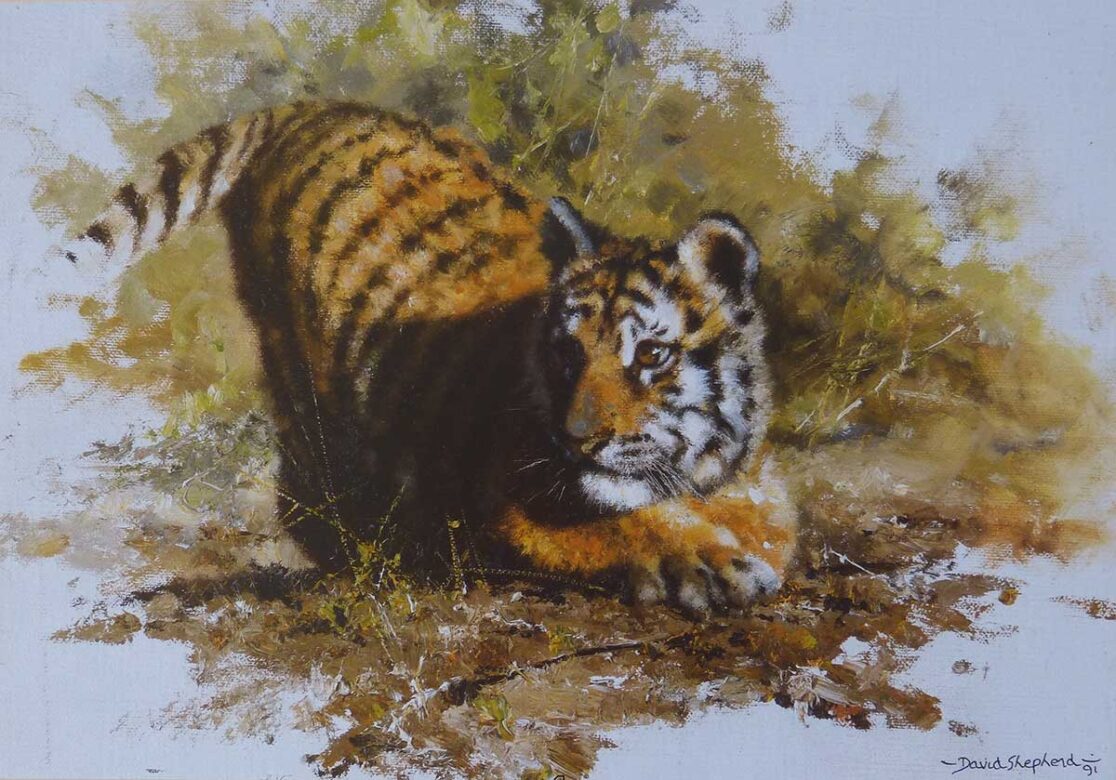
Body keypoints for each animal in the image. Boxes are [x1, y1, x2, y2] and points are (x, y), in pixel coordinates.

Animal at [63, 100, 797, 614]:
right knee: (309, 487)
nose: (575, 439)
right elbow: (626, 528)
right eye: (566, 353)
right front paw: (708, 567)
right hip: (302, 374)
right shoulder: (511, 503)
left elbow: (765, 523)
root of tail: (310, 107)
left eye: (650, 354)